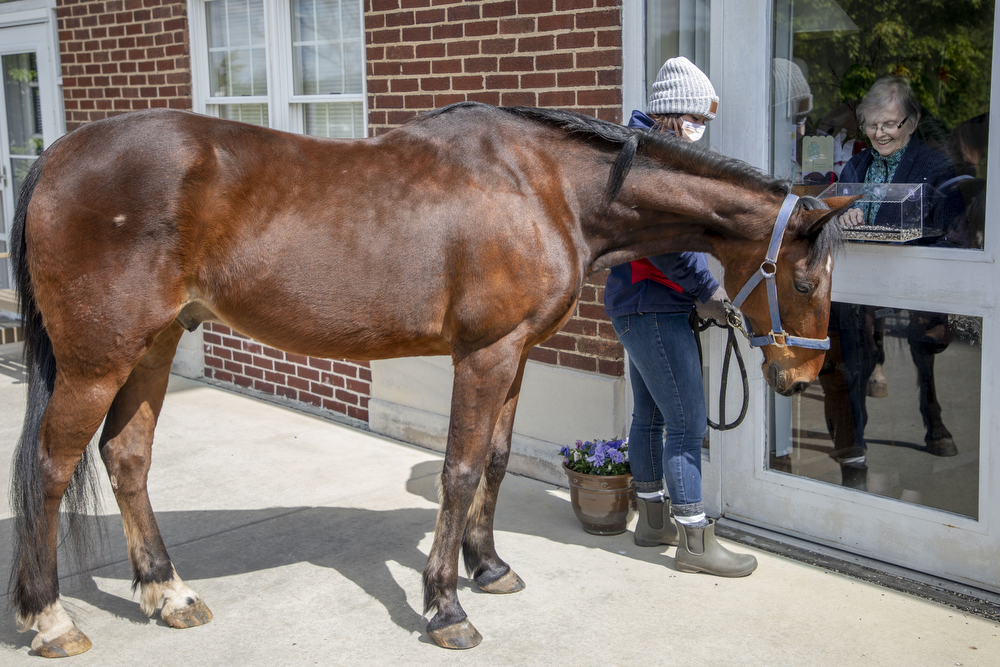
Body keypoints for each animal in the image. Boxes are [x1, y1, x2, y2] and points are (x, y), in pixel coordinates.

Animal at [8, 101, 855, 657]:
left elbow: (498, 462)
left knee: (127, 458)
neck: (545, 186)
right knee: (50, 468)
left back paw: (168, 592)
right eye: (806, 275)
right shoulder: (482, 354)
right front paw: (446, 606)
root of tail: (56, 155)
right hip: (97, 360)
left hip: (150, 348)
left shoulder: (515, 353)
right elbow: (458, 470)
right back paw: (51, 618)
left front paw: (491, 567)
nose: (801, 371)